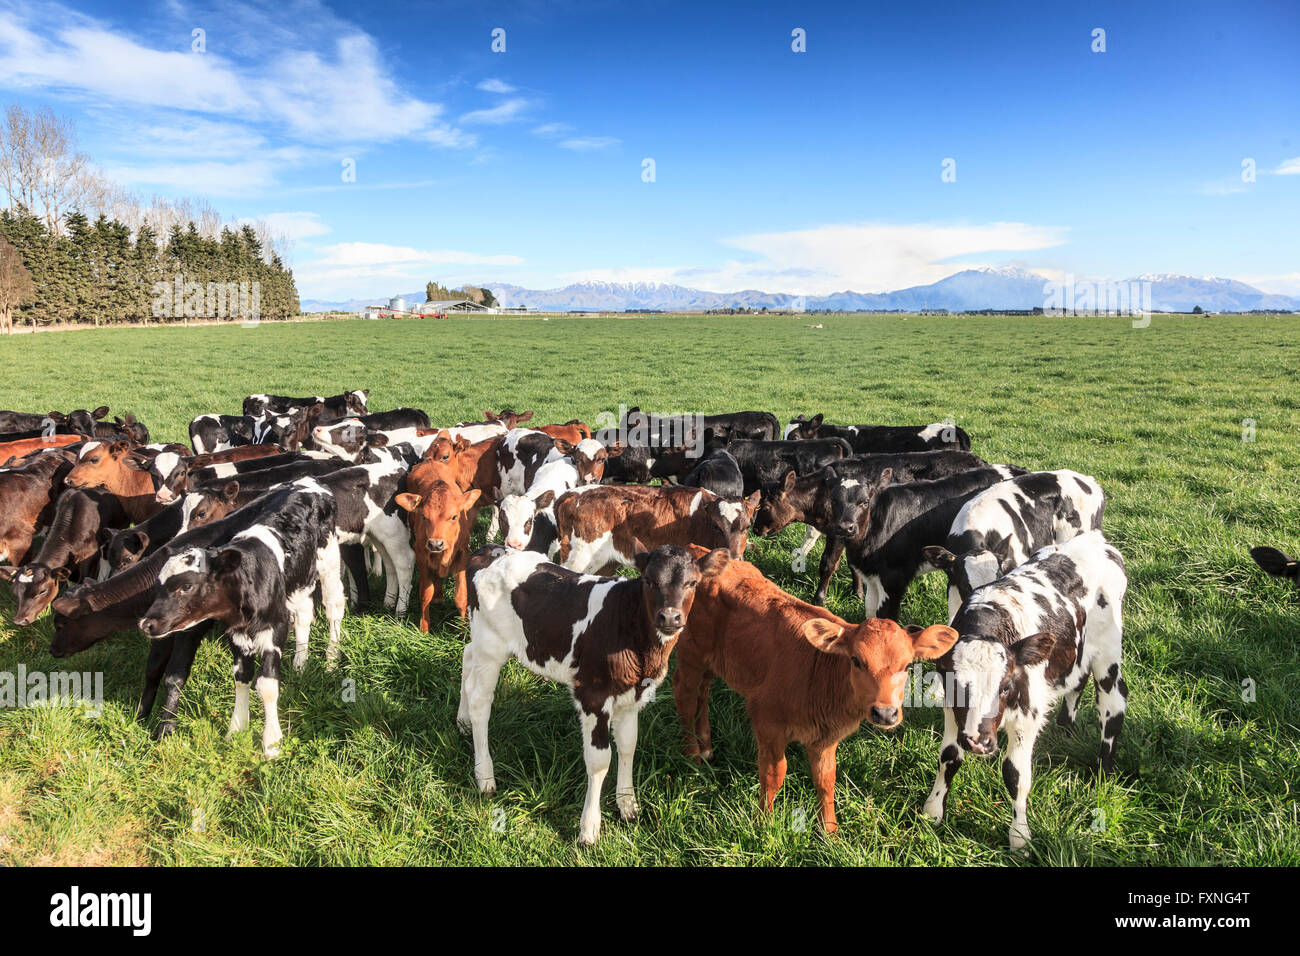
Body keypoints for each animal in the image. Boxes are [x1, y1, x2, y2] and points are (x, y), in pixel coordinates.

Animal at [138, 479, 346, 756]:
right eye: (158, 585)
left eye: (187, 586)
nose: (146, 623)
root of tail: (308, 481)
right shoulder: (237, 635)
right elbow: (241, 678)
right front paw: (236, 730)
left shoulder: (274, 629)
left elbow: (267, 686)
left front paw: (271, 743)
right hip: (300, 580)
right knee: (304, 613)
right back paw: (300, 663)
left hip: (329, 559)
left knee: (333, 605)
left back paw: (332, 658)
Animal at [459, 543, 730, 844]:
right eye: (649, 580)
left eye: (692, 583)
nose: (669, 616)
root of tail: (489, 550)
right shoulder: (593, 695)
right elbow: (600, 760)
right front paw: (589, 828)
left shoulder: (632, 696)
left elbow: (628, 745)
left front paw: (627, 804)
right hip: (490, 645)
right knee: (480, 701)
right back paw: (484, 775)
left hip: (484, 641)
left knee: (466, 656)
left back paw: (462, 721)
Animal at [674, 547, 958, 832]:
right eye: (856, 660)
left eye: (907, 665)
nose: (885, 714)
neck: (821, 676)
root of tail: (698, 553)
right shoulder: (767, 721)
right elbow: (774, 774)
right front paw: (763, 822)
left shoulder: (826, 737)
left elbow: (826, 780)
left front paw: (829, 831)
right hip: (689, 654)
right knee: (685, 699)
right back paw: (693, 757)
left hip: (711, 662)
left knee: (702, 695)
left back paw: (706, 747)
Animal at [923, 531, 1127, 850]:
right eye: (955, 684)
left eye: (1006, 685)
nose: (979, 743)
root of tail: (1096, 540)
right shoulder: (953, 712)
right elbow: (949, 757)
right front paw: (932, 811)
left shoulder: (1026, 718)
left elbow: (1015, 774)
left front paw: (1019, 837)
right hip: (1076, 654)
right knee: (1077, 683)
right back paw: (1065, 728)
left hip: (1108, 654)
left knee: (1113, 708)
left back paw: (1103, 777)